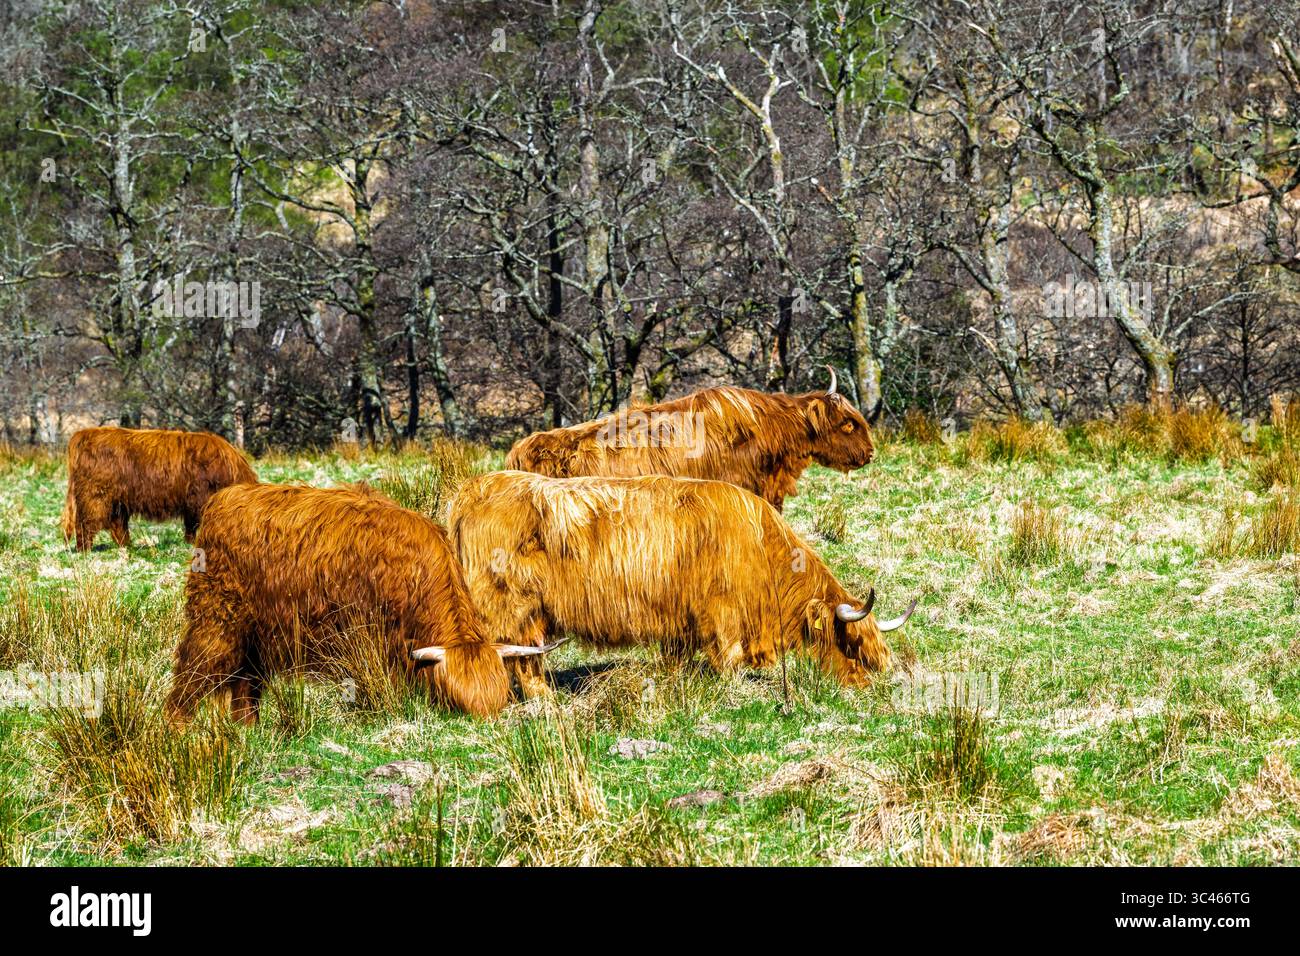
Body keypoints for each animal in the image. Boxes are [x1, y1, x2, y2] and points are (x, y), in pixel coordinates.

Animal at [60, 426, 257, 551]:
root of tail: (86, 433)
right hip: (95, 496)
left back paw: (127, 546)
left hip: (117, 500)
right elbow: (193, 525)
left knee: (118, 524)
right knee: (85, 523)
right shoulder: (198, 499)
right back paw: (84, 550)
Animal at [164, 483, 558, 724]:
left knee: (245, 684)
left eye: (501, 700)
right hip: (217, 618)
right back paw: (177, 729)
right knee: (194, 669)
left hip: (257, 636)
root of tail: (226, 498)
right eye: (453, 701)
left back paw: (249, 728)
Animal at [448, 471, 917, 697]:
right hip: (512, 606)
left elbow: (676, 657)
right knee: (513, 654)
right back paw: (541, 699)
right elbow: (729, 657)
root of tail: (475, 488)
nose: (866, 685)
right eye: (852, 645)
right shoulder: (724, 611)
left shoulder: (681, 621)